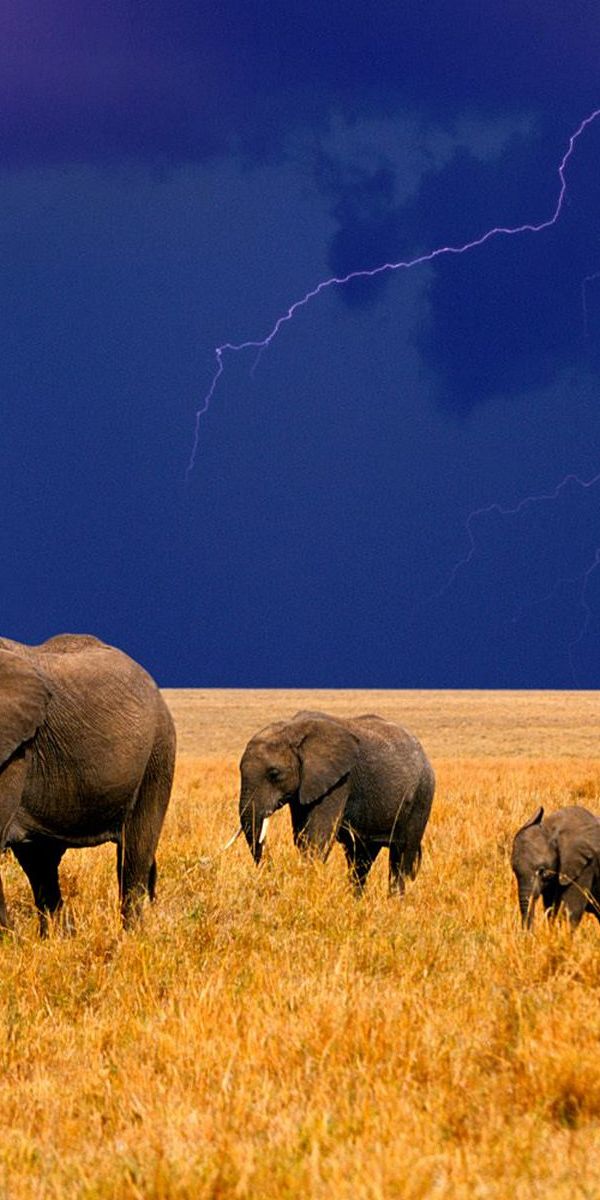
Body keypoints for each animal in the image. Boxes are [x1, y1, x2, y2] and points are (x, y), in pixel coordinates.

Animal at [0, 633, 176, 934]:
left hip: (158, 754)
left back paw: (132, 936)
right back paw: (56, 938)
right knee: (41, 864)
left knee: (134, 853)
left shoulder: (16, 752)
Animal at [237, 710, 435, 894]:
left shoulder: (339, 781)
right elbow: (302, 836)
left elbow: (318, 836)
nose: (272, 871)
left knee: (401, 857)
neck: (293, 728)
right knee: (361, 859)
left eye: (274, 773)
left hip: (422, 796)